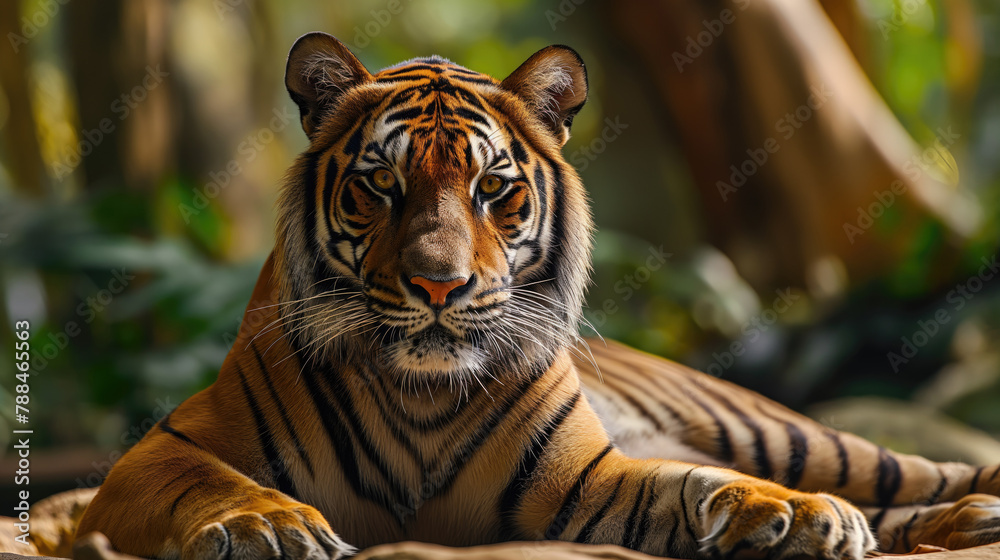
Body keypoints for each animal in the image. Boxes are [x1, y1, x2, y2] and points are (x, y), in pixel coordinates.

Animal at [75, 32, 1000, 560]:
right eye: (381, 185)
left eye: (493, 188)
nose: (439, 283)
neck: (420, 395)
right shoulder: (153, 455)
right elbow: (209, 482)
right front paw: (271, 525)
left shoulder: (583, 478)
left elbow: (692, 481)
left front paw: (794, 515)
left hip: (788, 432)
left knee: (920, 469)